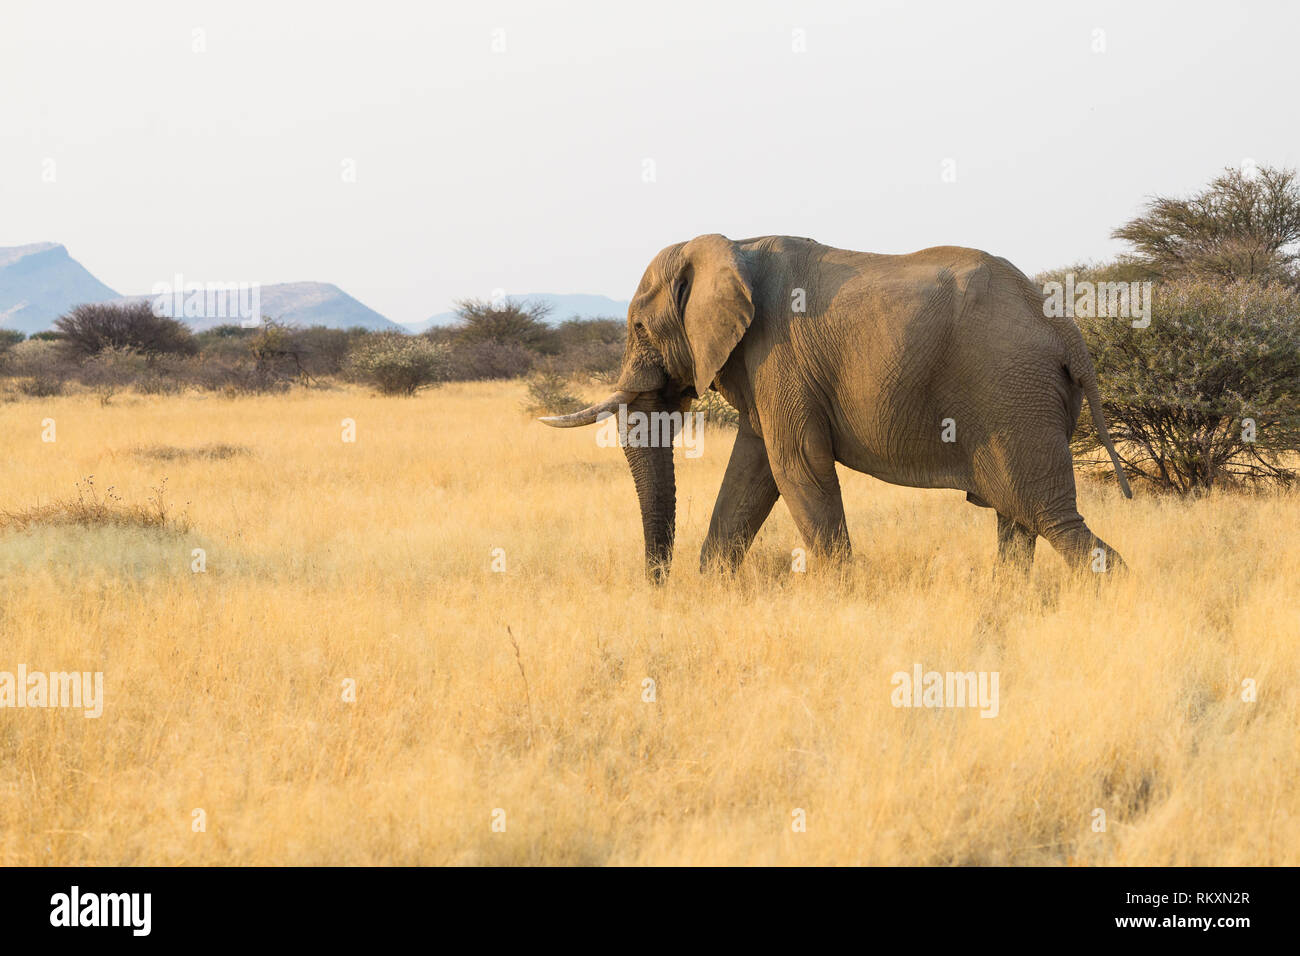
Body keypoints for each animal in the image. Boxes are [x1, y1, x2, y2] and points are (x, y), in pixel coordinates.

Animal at [540, 233, 1131, 583]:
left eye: (640, 327)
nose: (660, 587)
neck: (730, 245)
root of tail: (1066, 330)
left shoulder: (778, 354)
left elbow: (796, 465)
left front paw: (843, 594)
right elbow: (753, 470)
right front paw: (712, 590)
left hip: (1013, 394)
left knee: (1047, 515)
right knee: (1017, 519)